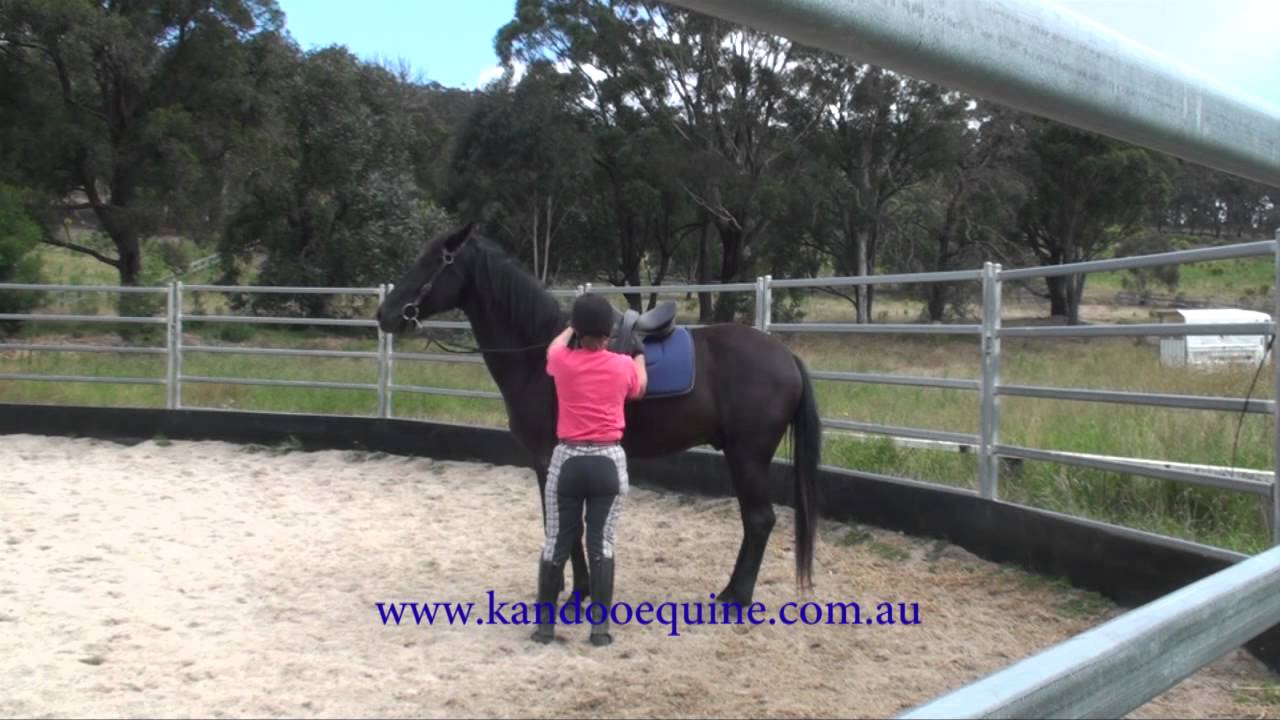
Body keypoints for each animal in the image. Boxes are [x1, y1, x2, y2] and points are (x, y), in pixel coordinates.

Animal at [376, 223, 820, 606]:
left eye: (434, 261)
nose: (386, 314)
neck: (538, 352)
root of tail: (786, 357)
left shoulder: (547, 458)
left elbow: (564, 527)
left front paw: (573, 590)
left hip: (747, 456)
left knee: (759, 520)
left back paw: (735, 597)